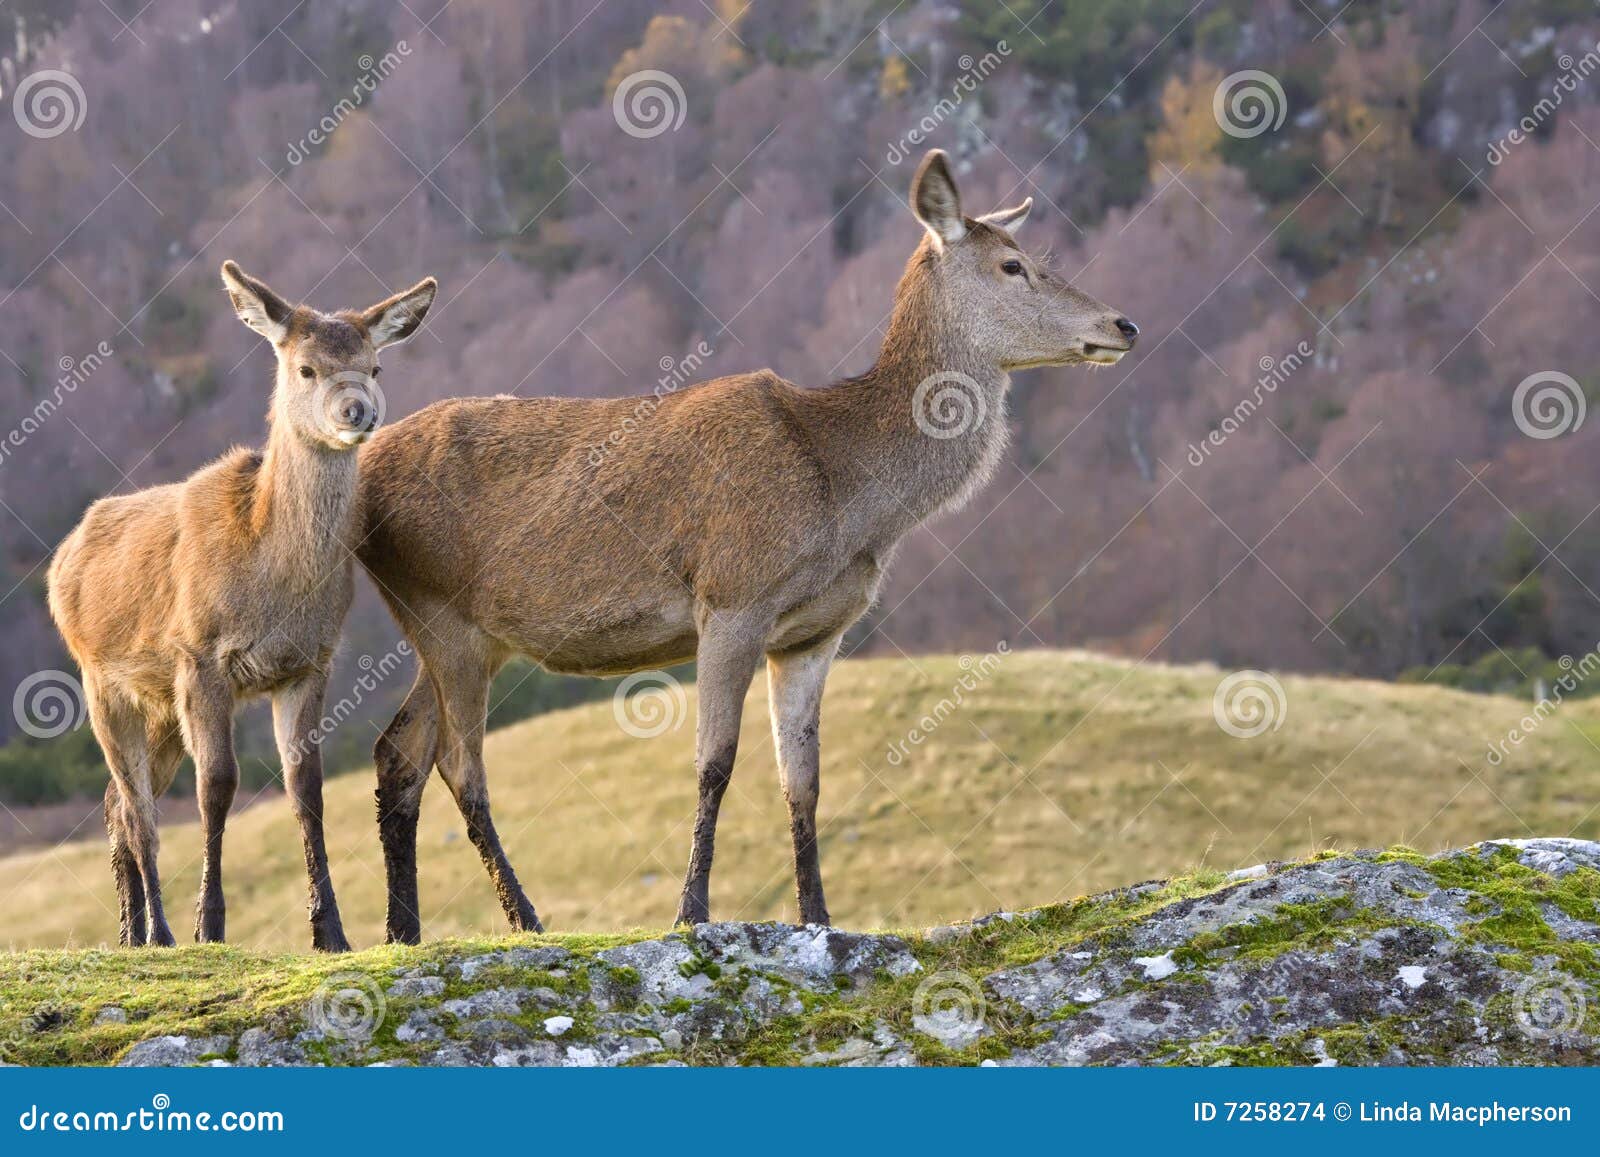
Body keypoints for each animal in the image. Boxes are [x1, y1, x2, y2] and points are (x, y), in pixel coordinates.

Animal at [47, 261, 436, 950]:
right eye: (306, 368)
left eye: (374, 366)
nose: (358, 410)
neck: (270, 577)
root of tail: (59, 562)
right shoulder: (201, 657)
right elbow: (218, 785)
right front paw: (210, 925)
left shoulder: (310, 662)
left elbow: (305, 788)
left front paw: (331, 932)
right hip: (100, 679)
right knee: (138, 809)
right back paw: (161, 933)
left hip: (159, 705)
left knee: (118, 806)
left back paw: (132, 934)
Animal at [357, 149, 1137, 941]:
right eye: (1015, 265)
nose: (1124, 323)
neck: (850, 494)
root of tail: (362, 474)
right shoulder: (733, 598)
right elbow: (716, 761)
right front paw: (691, 912)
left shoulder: (814, 634)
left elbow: (804, 780)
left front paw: (818, 915)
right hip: (440, 608)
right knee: (459, 763)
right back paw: (524, 918)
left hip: (461, 631)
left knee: (399, 749)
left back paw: (399, 932)